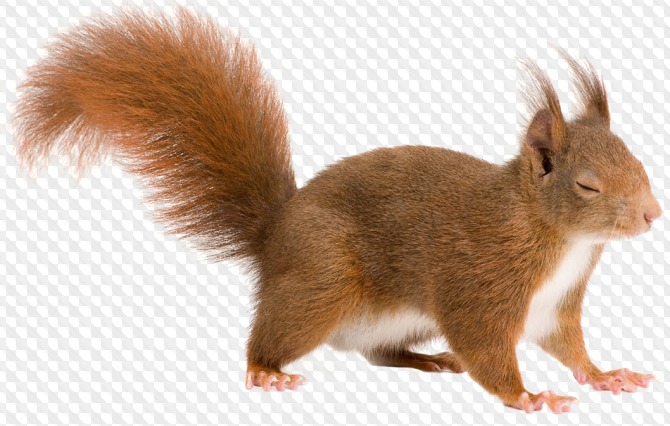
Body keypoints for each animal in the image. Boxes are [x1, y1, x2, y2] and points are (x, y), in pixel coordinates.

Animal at [12, 9, 661, 414]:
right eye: (588, 186)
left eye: (638, 158)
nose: (654, 215)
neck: (554, 236)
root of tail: (274, 237)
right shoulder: (479, 280)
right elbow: (485, 347)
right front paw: (528, 396)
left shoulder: (555, 305)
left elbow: (567, 346)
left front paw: (605, 374)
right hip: (321, 283)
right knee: (274, 333)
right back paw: (265, 369)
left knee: (377, 353)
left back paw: (427, 361)